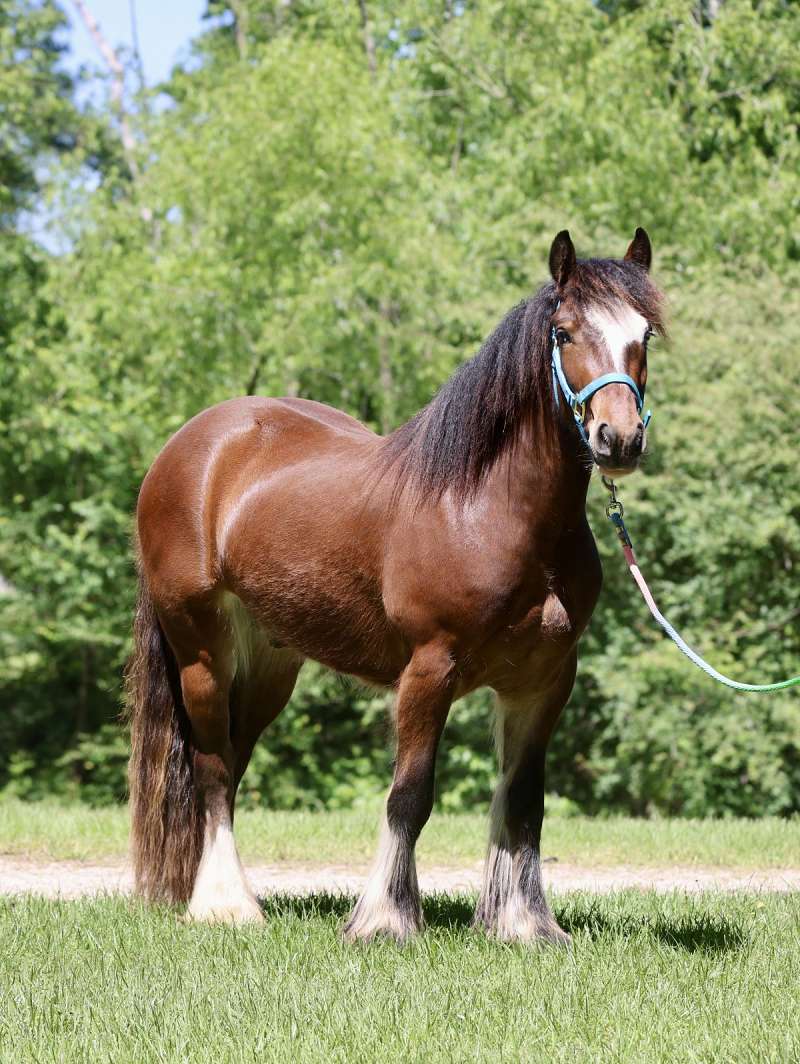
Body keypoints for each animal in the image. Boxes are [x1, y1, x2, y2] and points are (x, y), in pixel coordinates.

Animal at [126, 227, 664, 944]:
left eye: (645, 334)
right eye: (565, 331)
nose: (619, 438)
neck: (488, 510)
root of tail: (192, 445)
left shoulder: (545, 680)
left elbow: (524, 800)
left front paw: (523, 924)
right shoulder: (428, 670)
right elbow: (409, 796)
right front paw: (384, 920)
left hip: (269, 665)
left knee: (233, 763)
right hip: (201, 654)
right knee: (211, 766)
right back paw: (226, 906)